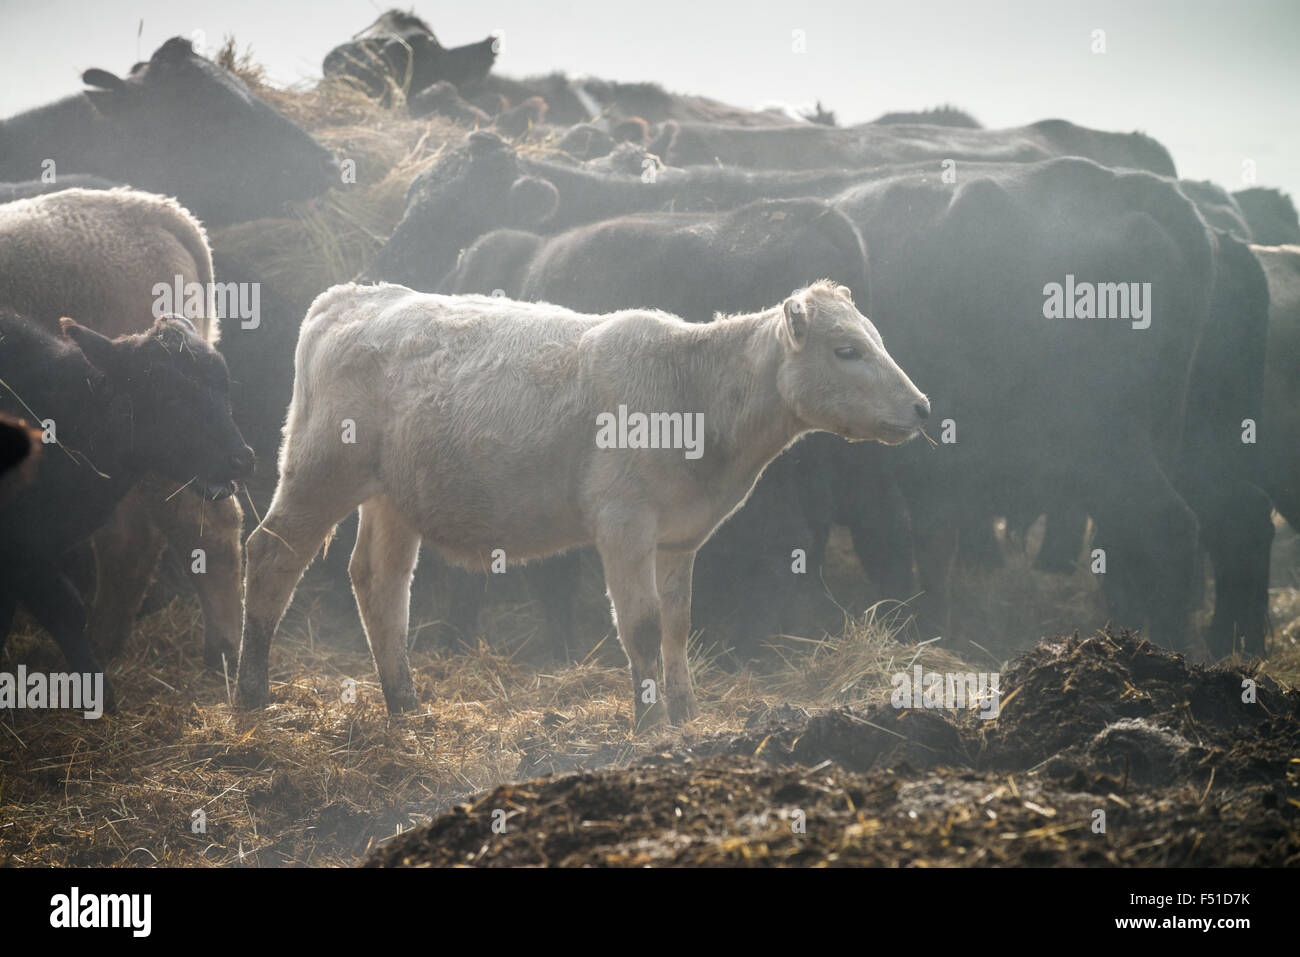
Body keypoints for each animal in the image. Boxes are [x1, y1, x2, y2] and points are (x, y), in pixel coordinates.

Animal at [0, 312, 254, 709]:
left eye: (225, 388)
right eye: (170, 396)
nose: (242, 459)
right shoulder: (21, 545)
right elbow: (65, 605)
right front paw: (99, 692)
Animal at [236, 282, 929, 727]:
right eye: (846, 350)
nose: (922, 407)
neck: (693, 392)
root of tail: (353, 295)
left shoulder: (679, 537)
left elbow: (678, 622)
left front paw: (686, 713)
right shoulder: (624, 524)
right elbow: (642, 625)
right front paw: (648, 723)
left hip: (391, 496)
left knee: (380, 583)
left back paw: (405, 704)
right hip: (320, 468)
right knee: (269, 555)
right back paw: (250, 694)